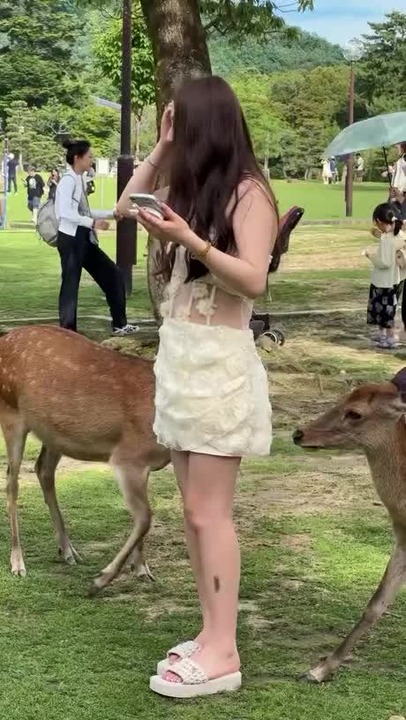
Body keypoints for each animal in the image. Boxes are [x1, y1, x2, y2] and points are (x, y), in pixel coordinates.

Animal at [0, 324, 170, 593]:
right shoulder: (128, 456)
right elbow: (145, 518)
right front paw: (101, 579)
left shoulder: (146, 464)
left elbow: (143, 516)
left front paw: (141, 569)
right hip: (10, 412)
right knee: (11, 482)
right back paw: (18, 562)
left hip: (54, 433)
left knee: (43, 469)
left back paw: (68, 550)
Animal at [293, 368, 406, 683]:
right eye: (340, 398)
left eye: (355, 413)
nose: (298, 433)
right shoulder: (402, 537)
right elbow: (376, 604)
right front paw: (319, 669)